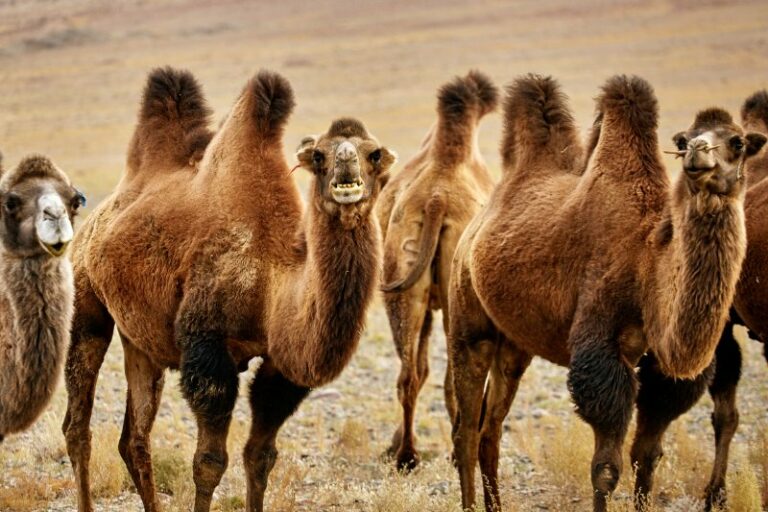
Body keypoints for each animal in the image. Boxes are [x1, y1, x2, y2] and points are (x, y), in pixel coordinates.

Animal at [61, 67, 396, 512]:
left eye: (373, 154)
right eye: (319, 156)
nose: (346, 166)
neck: (273, 280)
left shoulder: (280, 369)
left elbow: (260, 456)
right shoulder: (207, 349)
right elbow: (209, 461)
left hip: (141, 338)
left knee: (134, 438)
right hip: (86, 303)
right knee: (77, 426)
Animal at [375, 70, 498, 470]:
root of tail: (435, 201)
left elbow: (421, 366)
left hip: (401, 283)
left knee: (408, 375)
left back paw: (406, 455)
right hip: (451, 295)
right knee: (449, 380)